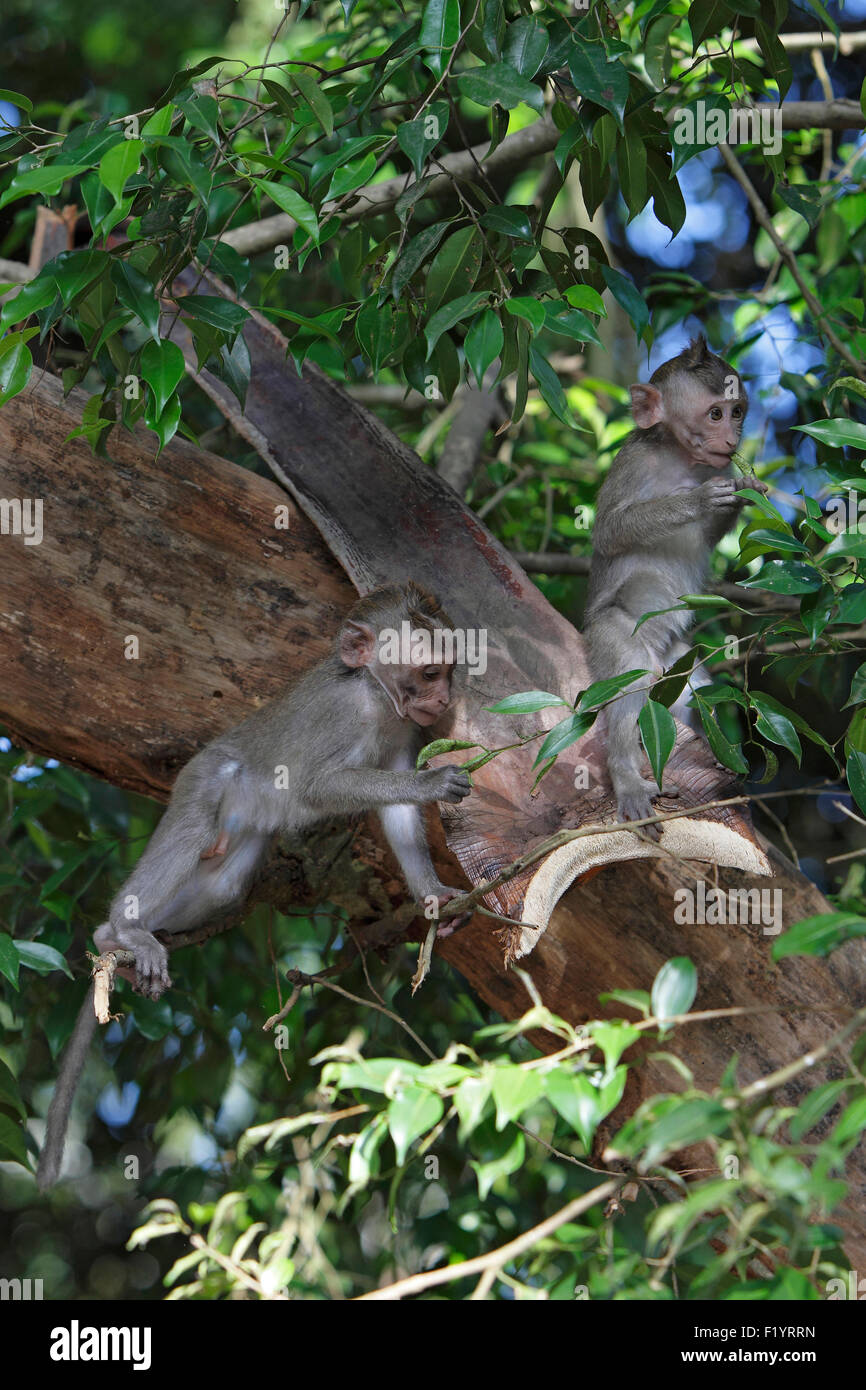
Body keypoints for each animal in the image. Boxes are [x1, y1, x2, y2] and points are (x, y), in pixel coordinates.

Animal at [36, 582, 471, 1188]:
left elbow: (399, 816)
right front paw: (432, 784)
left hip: (243, 834)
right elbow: (317, 787)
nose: (445, 699)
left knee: (225, 884)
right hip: (205, 777)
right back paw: (118, 931)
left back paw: (123, 941)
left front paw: (434, 897)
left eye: (448, 671)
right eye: (430, 672)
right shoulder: (346, 714)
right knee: (195, 823)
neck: (376, 694)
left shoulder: (406, 727)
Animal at [583, 334, 764, 831]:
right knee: (632, 675)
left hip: (677, 662)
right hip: (609, 636)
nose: (732, 439)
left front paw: (741, 492)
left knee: (691, 688)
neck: (680, 459)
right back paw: (626, 777)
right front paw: (697, 500)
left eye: (737, 411)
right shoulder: (633, 461)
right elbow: (610, 531)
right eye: (715, 414)